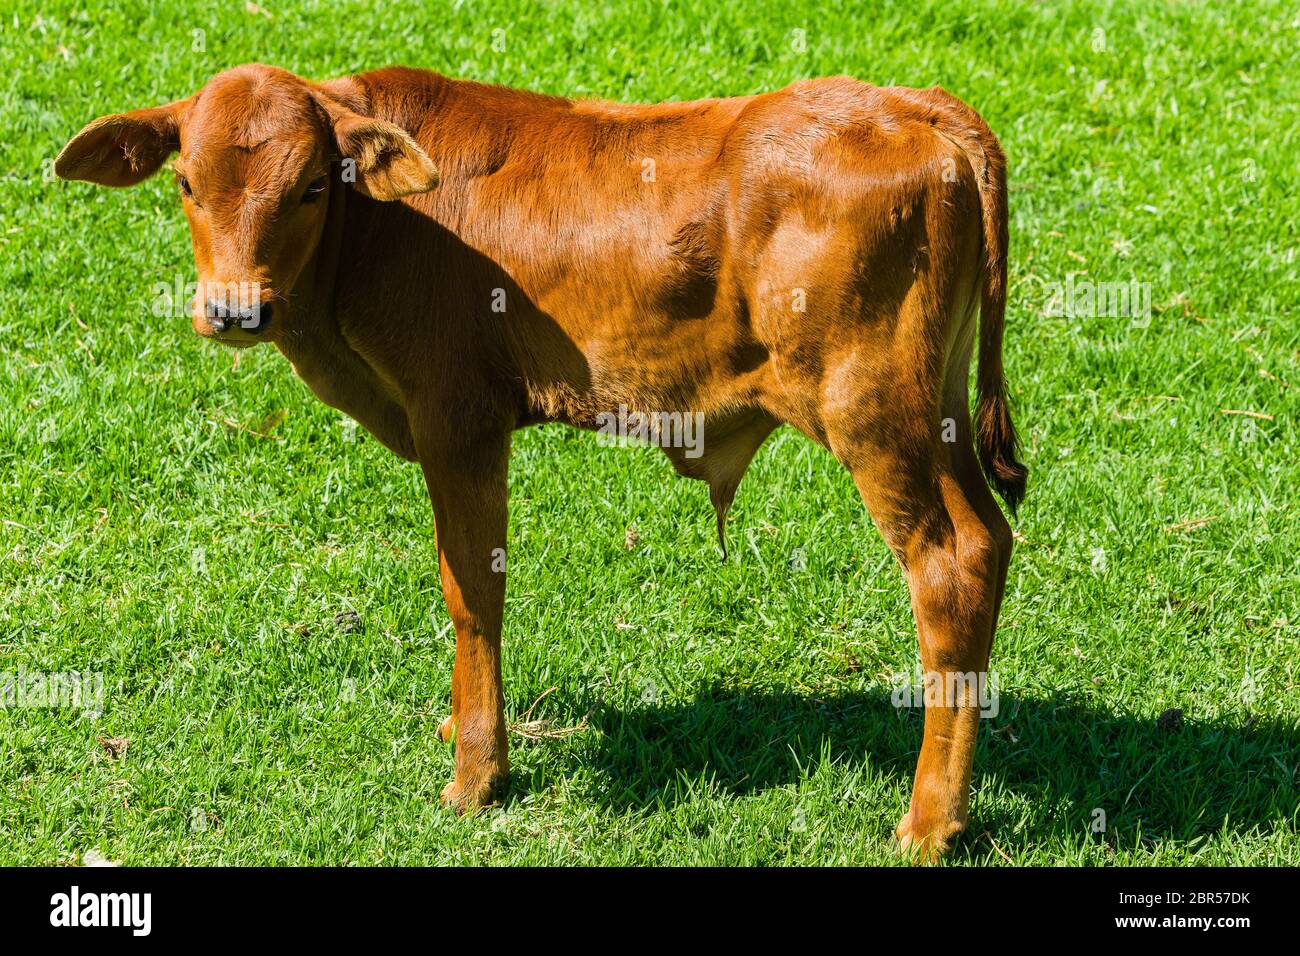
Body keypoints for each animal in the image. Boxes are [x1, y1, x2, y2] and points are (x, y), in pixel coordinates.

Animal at [56, 63, 1027, 860]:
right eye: (187, 182)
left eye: (309, 187)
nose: (235, 310)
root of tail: (910, 104)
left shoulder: (458, 417)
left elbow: (471, 591)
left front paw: (477, 773)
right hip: (934, 413)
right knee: (989, 540)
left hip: (873, 413)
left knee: (948, 568)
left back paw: (929, 823)